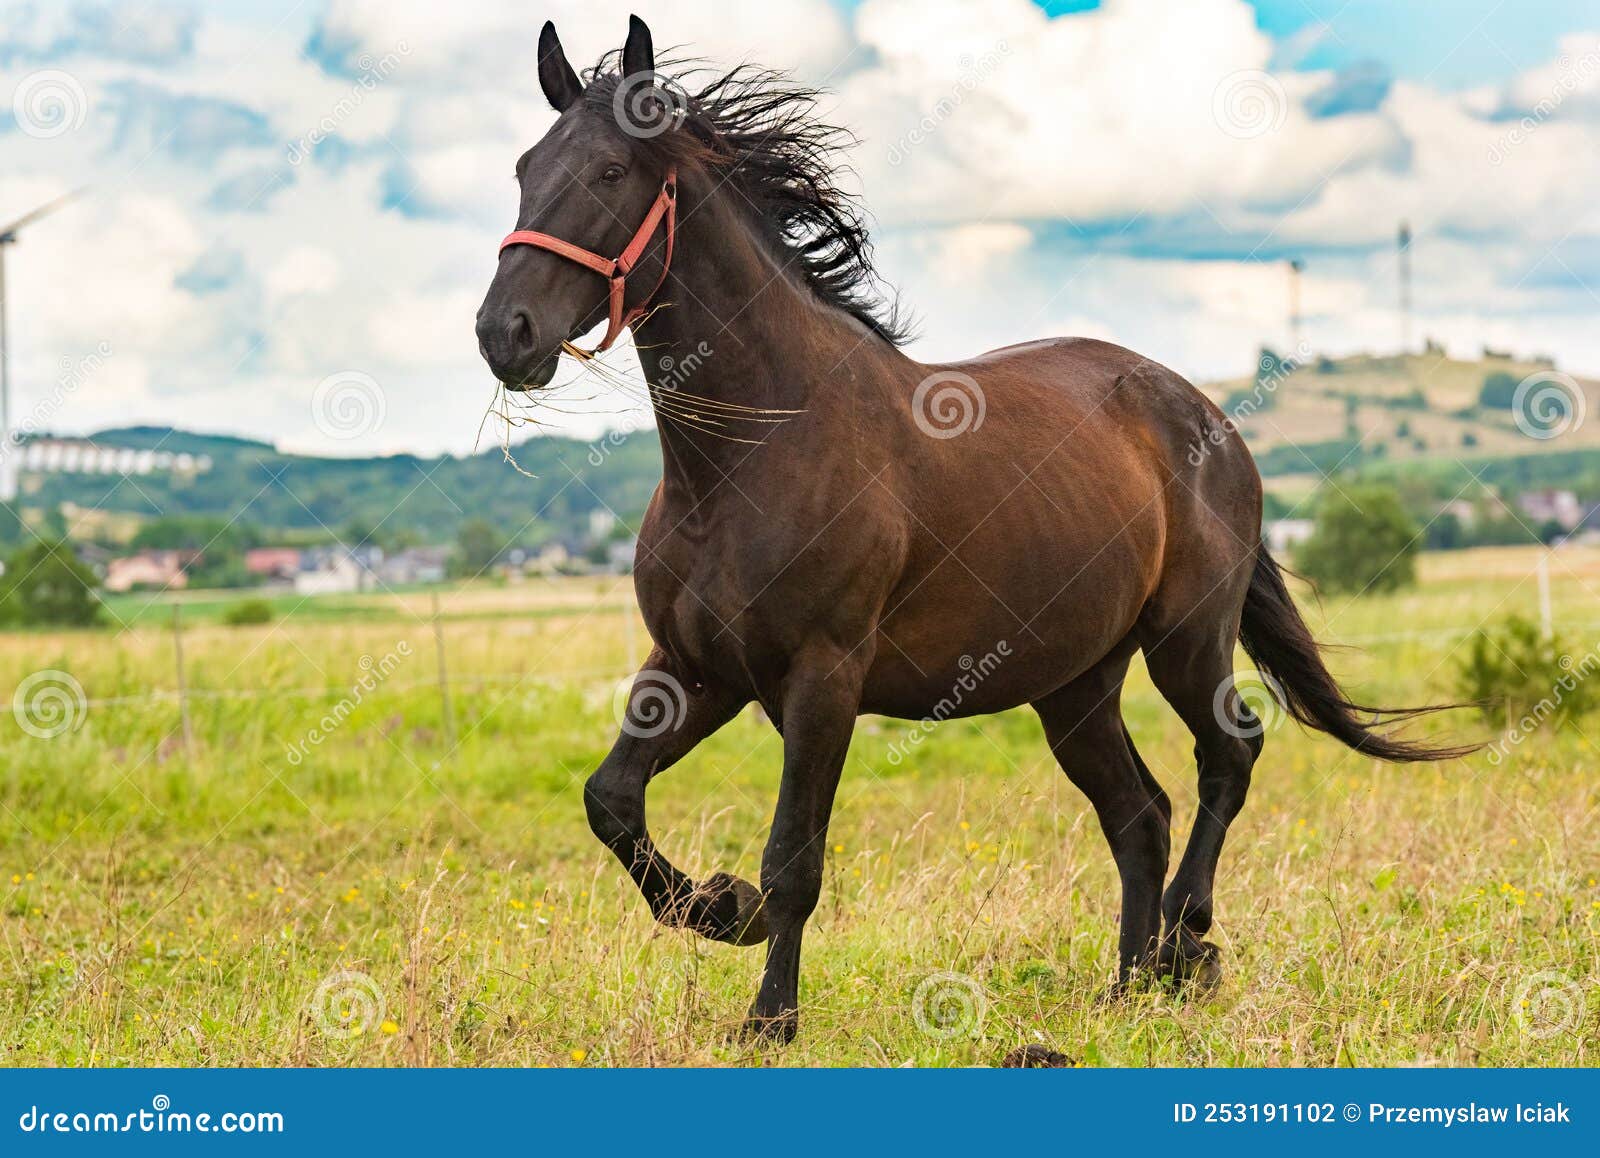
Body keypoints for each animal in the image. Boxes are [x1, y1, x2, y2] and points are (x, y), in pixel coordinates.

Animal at [475, 15, 1474, 1043]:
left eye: (609, 172)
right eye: (524, 167)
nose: (504, 334)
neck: (752, 454)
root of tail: (1210, 421)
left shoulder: (822, 682)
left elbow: (793, 858)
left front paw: (769, 1014)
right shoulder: (696, 667)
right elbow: (611, 801)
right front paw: (720, 909)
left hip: (1188, 640)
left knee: (1227, 757)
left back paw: (1187, 943)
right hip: (1075, 685)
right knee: (1139, 813)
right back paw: (1128, 985)